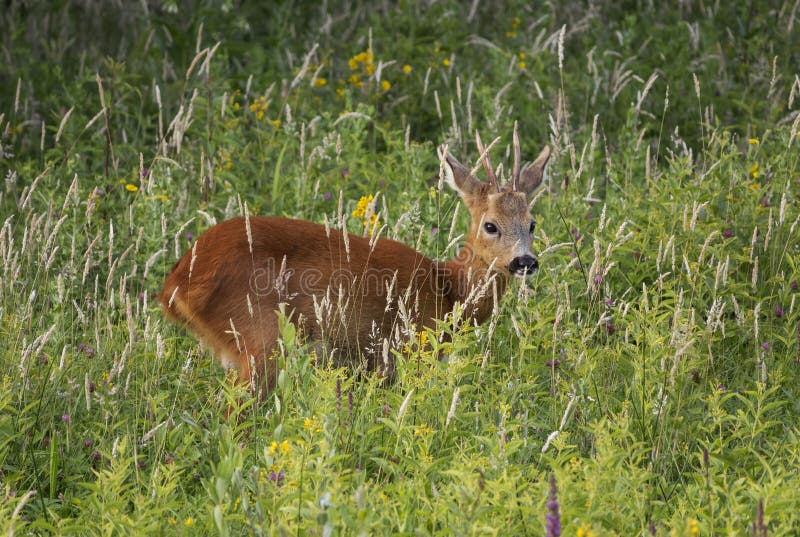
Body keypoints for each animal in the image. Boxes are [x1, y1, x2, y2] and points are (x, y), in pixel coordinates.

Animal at [159, 127, 551, 398]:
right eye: (490, 225)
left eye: (532, 223)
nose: (525, 261)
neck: (447, 289)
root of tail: (176, 284)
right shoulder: (403, 351)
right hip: (260, 337)